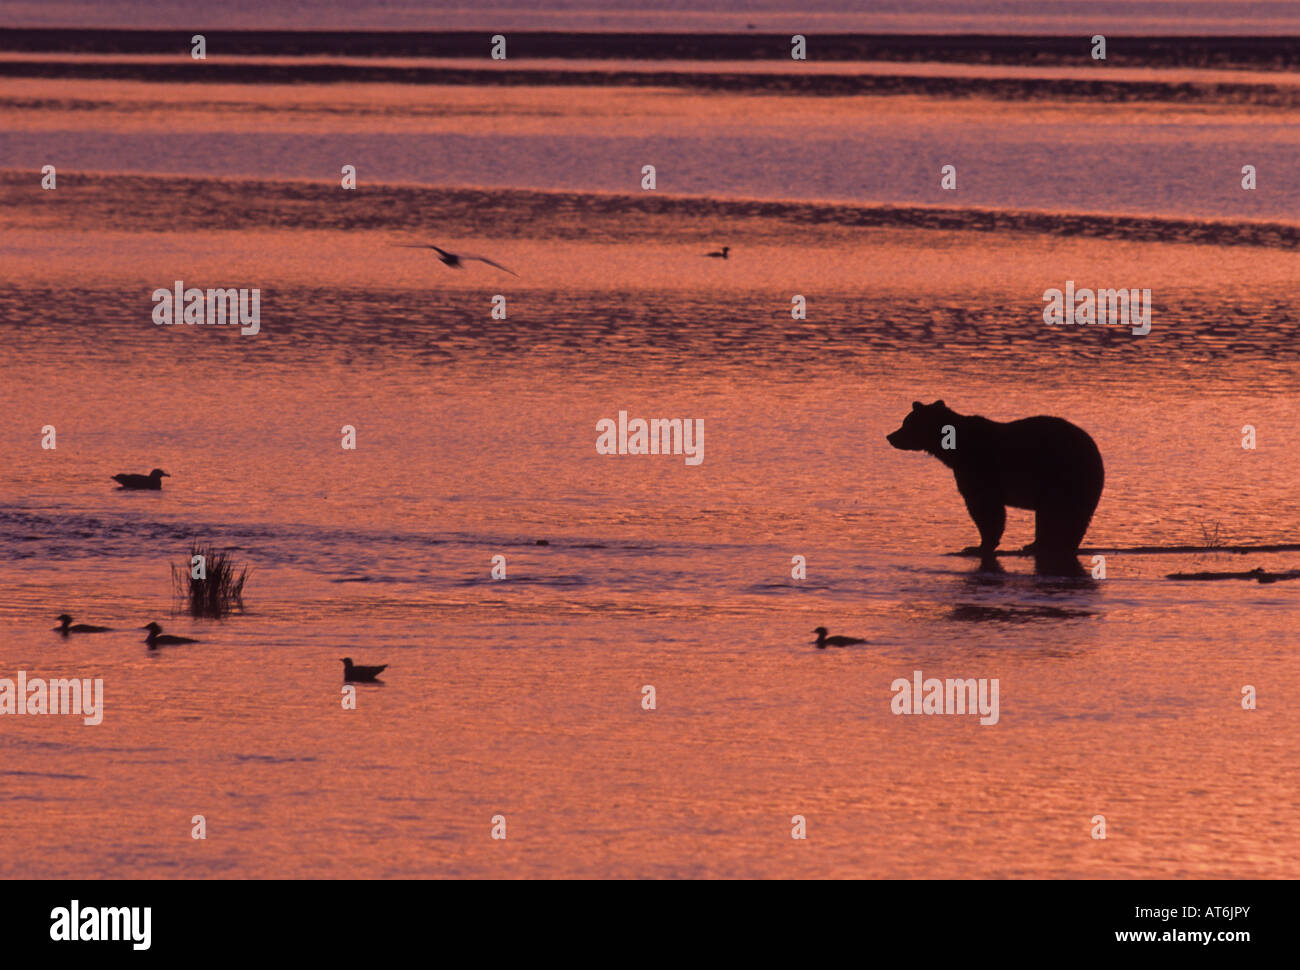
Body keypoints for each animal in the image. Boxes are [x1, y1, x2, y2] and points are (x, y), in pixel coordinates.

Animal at [886, 401, 1104, 576]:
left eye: (906, 423)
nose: (890, 436)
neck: (955, 450)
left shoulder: (980, 470)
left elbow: (985, 509)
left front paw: (977, 546)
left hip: (1062, 478)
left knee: (1059, 514)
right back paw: (1040, 545)